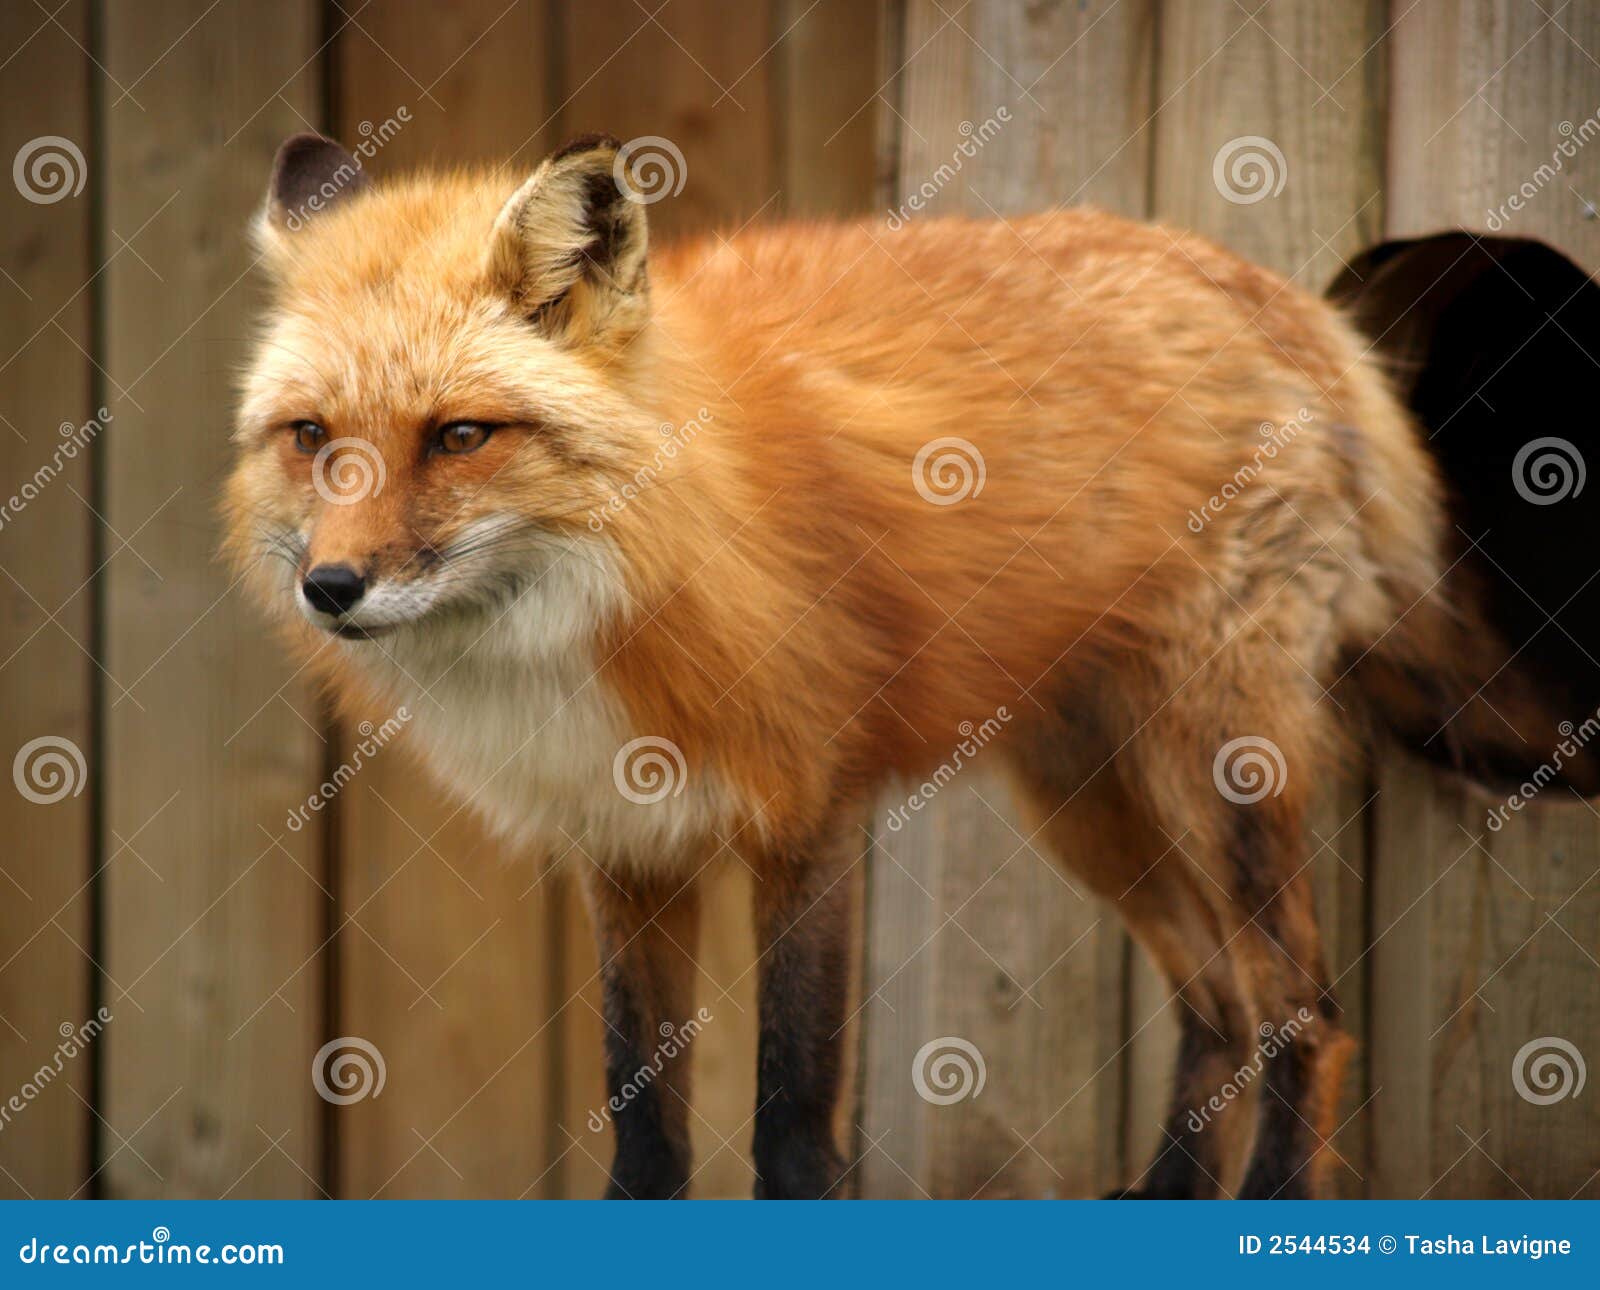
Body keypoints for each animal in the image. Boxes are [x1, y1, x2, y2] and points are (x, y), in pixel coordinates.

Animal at [226, 132, 1599, 1200]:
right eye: (312, 438)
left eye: (460, 436)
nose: (330, 589)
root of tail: (1292, 305)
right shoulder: (628, 844)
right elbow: (644, 1130)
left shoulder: (808, 818)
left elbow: (789, 1123)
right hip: (1089, 803)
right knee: (1217, 1010)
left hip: (1219, 777)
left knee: (1302, 1019)